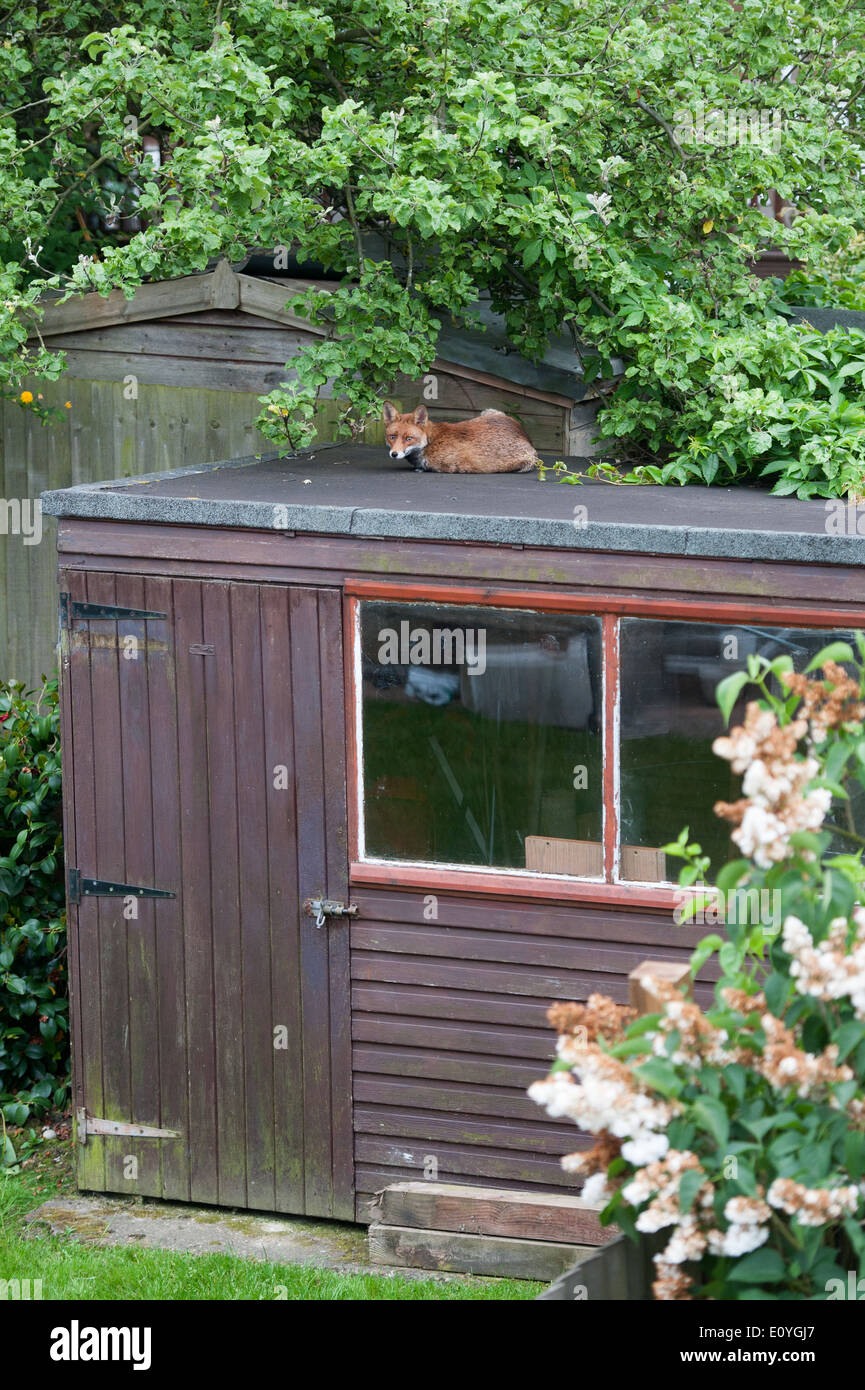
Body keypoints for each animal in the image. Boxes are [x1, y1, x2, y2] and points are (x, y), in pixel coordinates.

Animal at [382, 402, 539, 474]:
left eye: (409, 438)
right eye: (392, 437)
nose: (394, 454)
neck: (431, 442)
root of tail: (522, 431)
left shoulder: (455, 465)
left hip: (527, 462)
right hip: (488, 411)